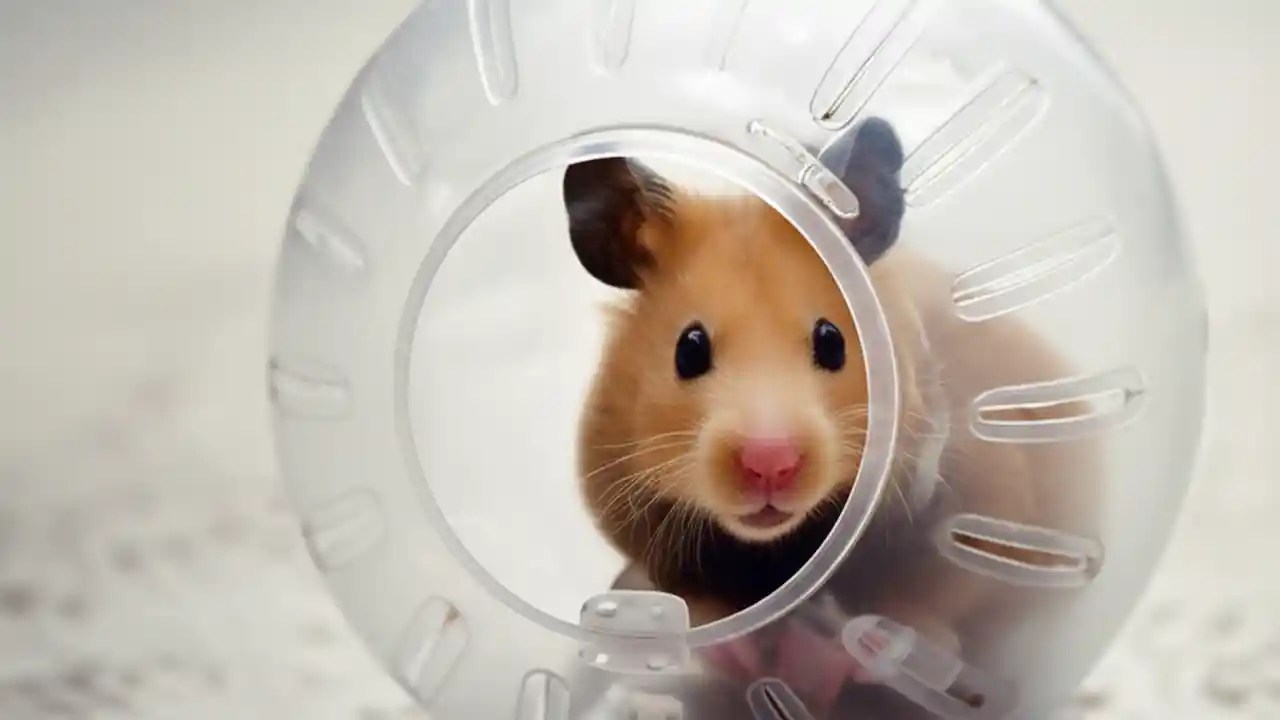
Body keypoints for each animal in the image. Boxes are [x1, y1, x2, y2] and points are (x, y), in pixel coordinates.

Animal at [562, 119, 1100, 718]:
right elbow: (697, 601)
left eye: (832, 340)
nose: (770, 463)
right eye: (689, 349)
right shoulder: (635, 516)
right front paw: (738, 654)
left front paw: (864, 651)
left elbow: (933, 594)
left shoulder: (976, 497)